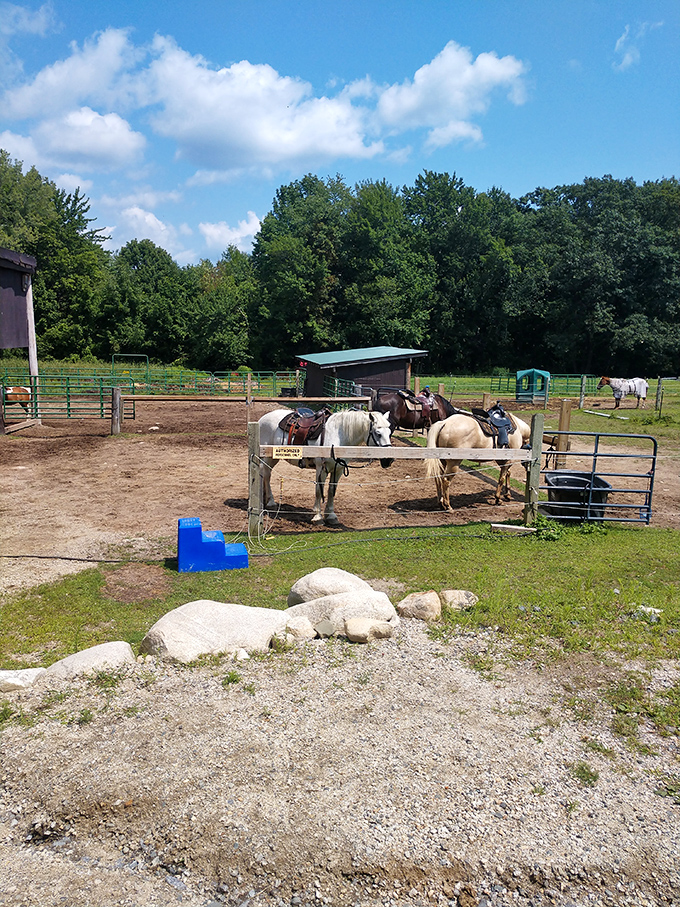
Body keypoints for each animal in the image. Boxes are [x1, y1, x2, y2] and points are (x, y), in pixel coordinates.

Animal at [257, 408, 393, 526]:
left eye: (390, 433)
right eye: (378, 433)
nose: (389, 460)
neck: (338, 436)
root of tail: (262, 419)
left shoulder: (338, 469)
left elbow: (332, 491)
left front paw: (331, 515)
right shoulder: (321, 468)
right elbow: (318, 490)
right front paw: (318, 517)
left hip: (273, 458)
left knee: (266, 474)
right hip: (268, 457)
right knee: (266, 475)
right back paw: (271, 502)